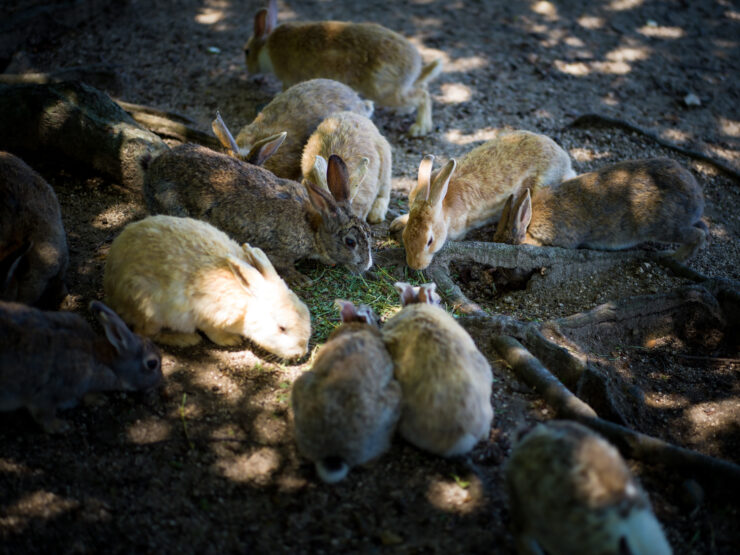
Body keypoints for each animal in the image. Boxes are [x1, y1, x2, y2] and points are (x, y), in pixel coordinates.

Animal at [0, 299, 162, 434]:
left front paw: (98, 399)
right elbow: (44, 414)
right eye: (152, 364)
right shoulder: (47, 393)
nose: (160, 381)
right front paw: (60, 426)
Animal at [103, 215, 311, 358]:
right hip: (149, 309)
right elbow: (214, 333)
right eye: (282, 328)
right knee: (144, 333)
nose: (301, 353)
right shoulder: (207, 315)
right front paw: (231, 340)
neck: (247, 304)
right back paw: (187, 339)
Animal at [143, 116, 372, 285]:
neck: (313, 224)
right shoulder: (278, 250)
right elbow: (284, 266)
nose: (367, 265)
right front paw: (301, 279)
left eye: (369, 232)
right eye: (350, 242)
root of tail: (154, 168)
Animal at [244, 0, 442, 136]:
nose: (248, 69)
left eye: (246, 52)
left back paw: (419, 128)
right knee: (421, 88)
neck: (266, 46)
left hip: (383, 90)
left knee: (423, 95)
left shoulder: (288, 78)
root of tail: (415, 65)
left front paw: (277, 95)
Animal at [391, 130, 575, 270]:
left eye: (430, 241)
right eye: (406, 235)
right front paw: (397, 223)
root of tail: (564, 158)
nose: (415, 265)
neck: (443, 208)